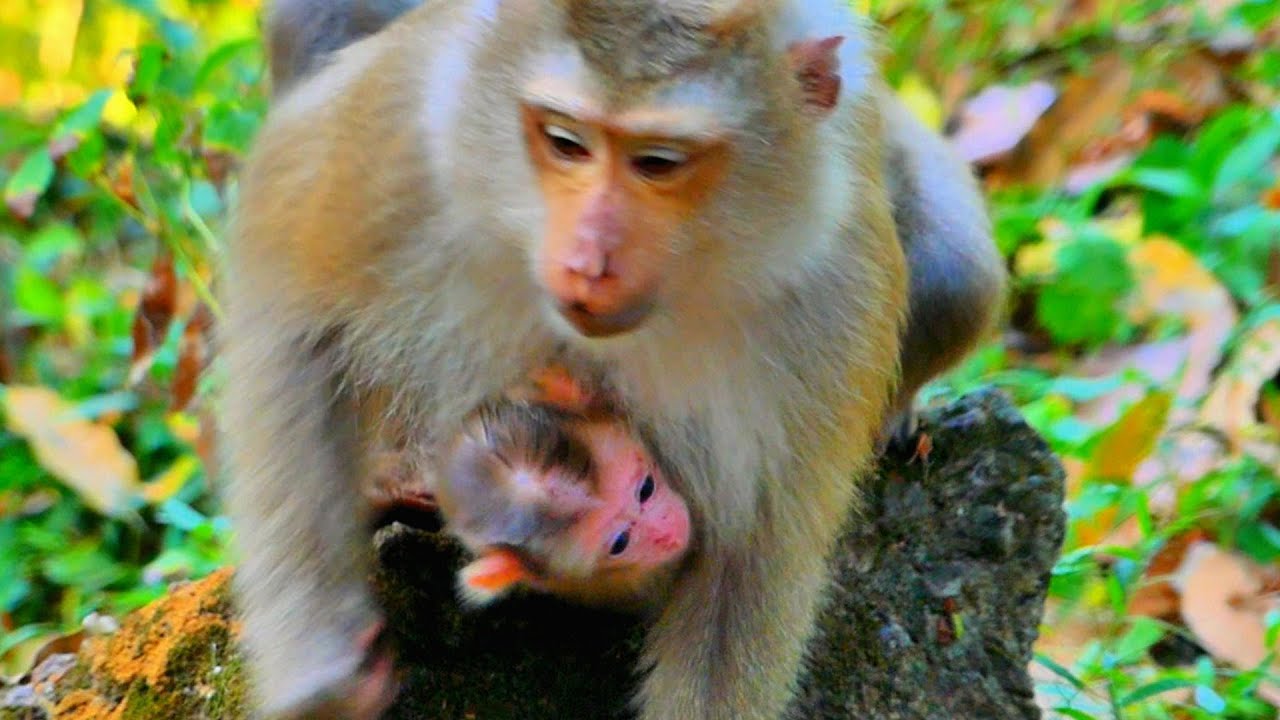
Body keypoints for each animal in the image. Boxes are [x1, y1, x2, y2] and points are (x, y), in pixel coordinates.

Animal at [221, 2, 1006, 719]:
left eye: (658, 163)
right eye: (566, 142)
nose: (587, 263)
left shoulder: (831, 299)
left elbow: (746, 570)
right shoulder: (413, 121)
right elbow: (286, 293)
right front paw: (324, 674)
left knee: (957, 277)